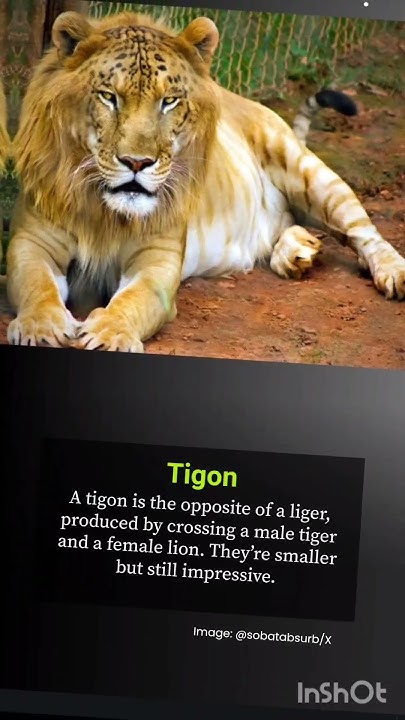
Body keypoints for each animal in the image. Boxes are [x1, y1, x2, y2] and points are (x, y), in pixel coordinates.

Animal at [6, 10, 405, 352]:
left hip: (305, 168)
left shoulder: (158, 261)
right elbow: (37, 286)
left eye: (169, 101)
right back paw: (296, 253)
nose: (137, 162)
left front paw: (111, 333)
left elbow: (134, 300)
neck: (104, 210)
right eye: (108, 97)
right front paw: (40, 327)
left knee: (364, 232)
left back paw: (392, 273)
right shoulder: (31, 243)